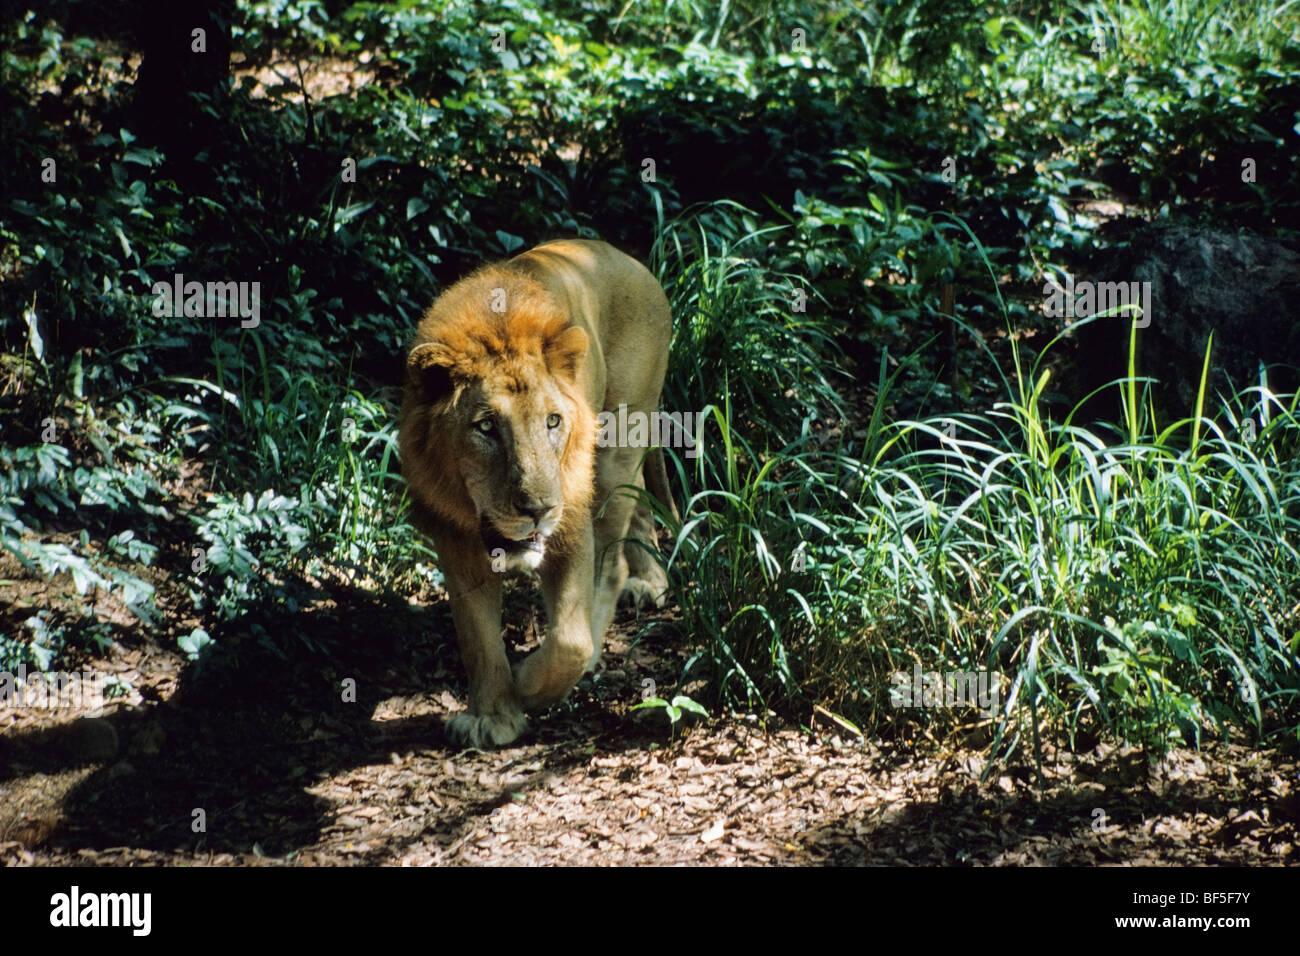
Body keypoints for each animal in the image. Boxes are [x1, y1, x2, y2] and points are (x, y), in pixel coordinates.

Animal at [398, 239, 677, 748]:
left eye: (552, 421)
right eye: (486, 427)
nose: (537, 510)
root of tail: (628, 257)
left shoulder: (571, 519)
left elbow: (569, 640)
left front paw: (527, 683)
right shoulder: (453, 536)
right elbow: (478, 638)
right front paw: (493, 718)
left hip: (616, 448)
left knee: (612, 562)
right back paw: (651, 582)